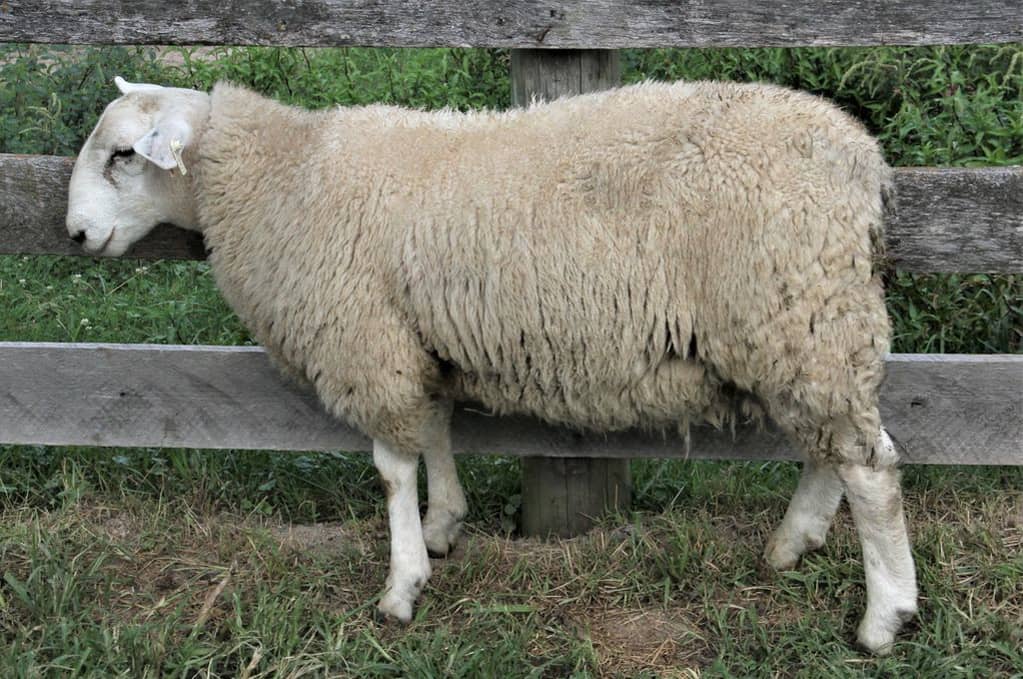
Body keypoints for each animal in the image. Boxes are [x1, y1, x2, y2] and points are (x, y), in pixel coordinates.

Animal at [65, 75, 917, 653]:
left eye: (122, 155)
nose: (72, 233)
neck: (284, 174)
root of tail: (863, 159)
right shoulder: (419, 337)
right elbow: (435, 432)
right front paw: (443, 522)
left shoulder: (367, 339)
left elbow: (391, 467)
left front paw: (402, 584)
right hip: (806, 327)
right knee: (834, 452)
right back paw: (792, 543)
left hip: (798, 314)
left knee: (869, 467)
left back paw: (883, 615)